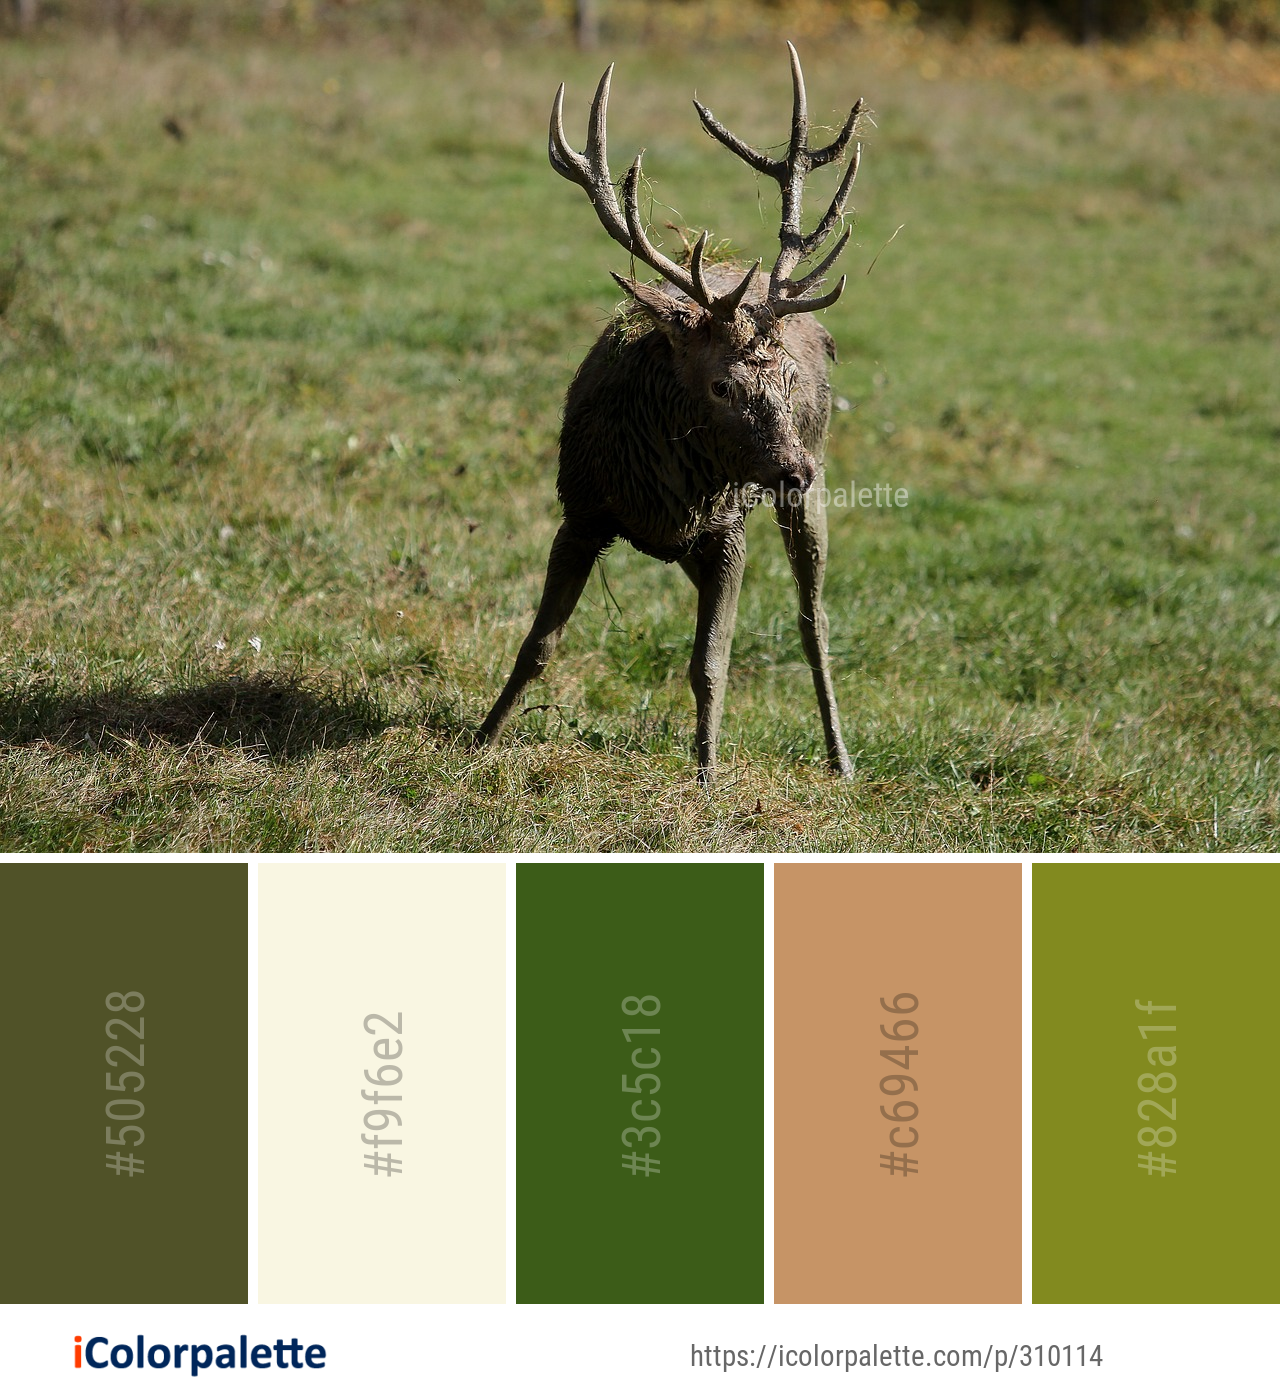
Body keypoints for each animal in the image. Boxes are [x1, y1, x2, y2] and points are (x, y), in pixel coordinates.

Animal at [477, 44, 866, 785]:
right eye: (720, 386)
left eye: (786, 377)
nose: (793, 468)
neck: (659, 489)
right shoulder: (581, 510)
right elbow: (538, 644)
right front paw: (480, 737)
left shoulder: (727, 529)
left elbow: (709, 663)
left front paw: (707, 772)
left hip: (811, 487)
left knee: (815, 620)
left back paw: (841, 757)